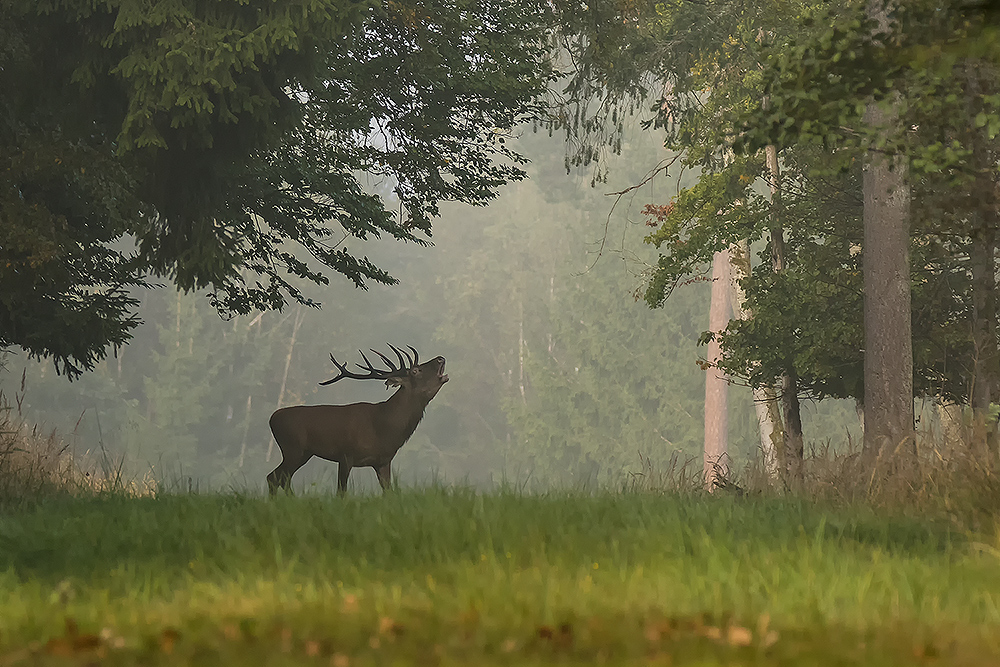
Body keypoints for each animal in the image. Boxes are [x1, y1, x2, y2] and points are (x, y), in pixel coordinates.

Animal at [266, 344, 448, 496]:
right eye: (416, 371)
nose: (440, 358)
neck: (384, 428)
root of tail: (272, 419)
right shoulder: (345, 454)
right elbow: (341, 491)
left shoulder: (384, 461)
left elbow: (389, 492)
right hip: (292, 448)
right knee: (275, 477)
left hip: (303, 453)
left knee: (278, 478)